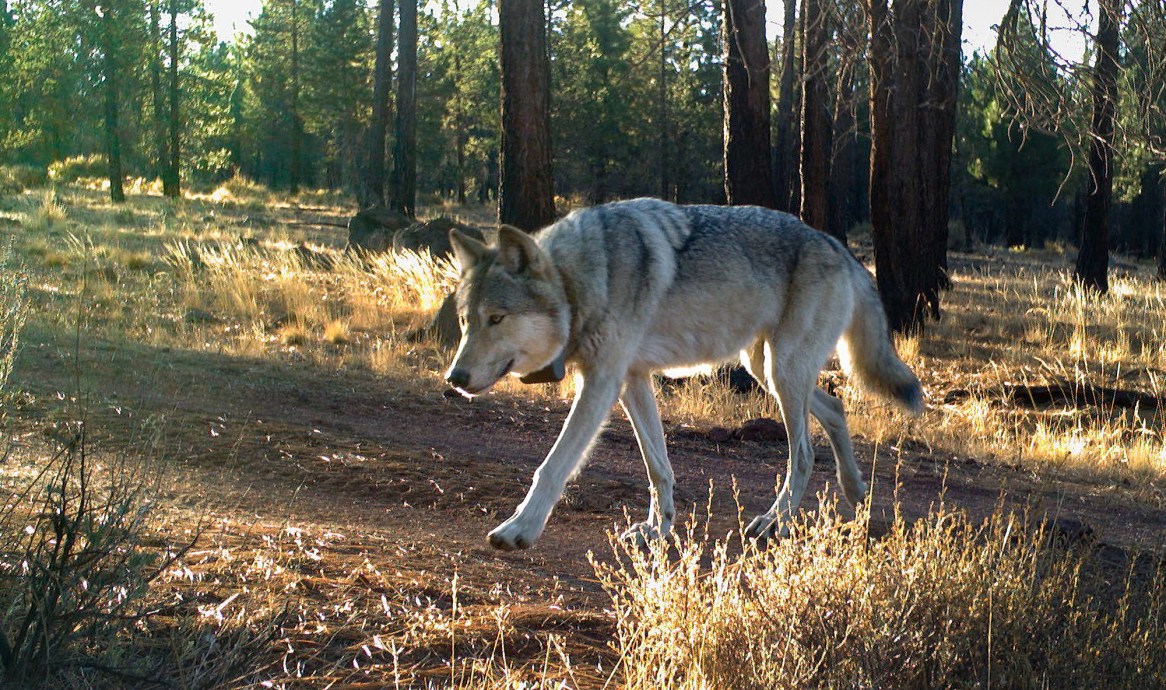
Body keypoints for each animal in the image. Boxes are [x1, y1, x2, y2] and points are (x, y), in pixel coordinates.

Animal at [445, 198, 923, 551]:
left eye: (496, 318)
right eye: (466, 320)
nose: (455, 377)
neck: (579, 281)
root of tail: (837, 245)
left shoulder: (601, 382)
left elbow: (553, 465)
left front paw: (517, 529)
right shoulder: (632, 380)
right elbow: (658, 466)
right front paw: (657, 529)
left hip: (783, 371)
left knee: (803, 453)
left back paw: (775, 522)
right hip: (767, 370)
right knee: (836, 408)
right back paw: (855, 490)